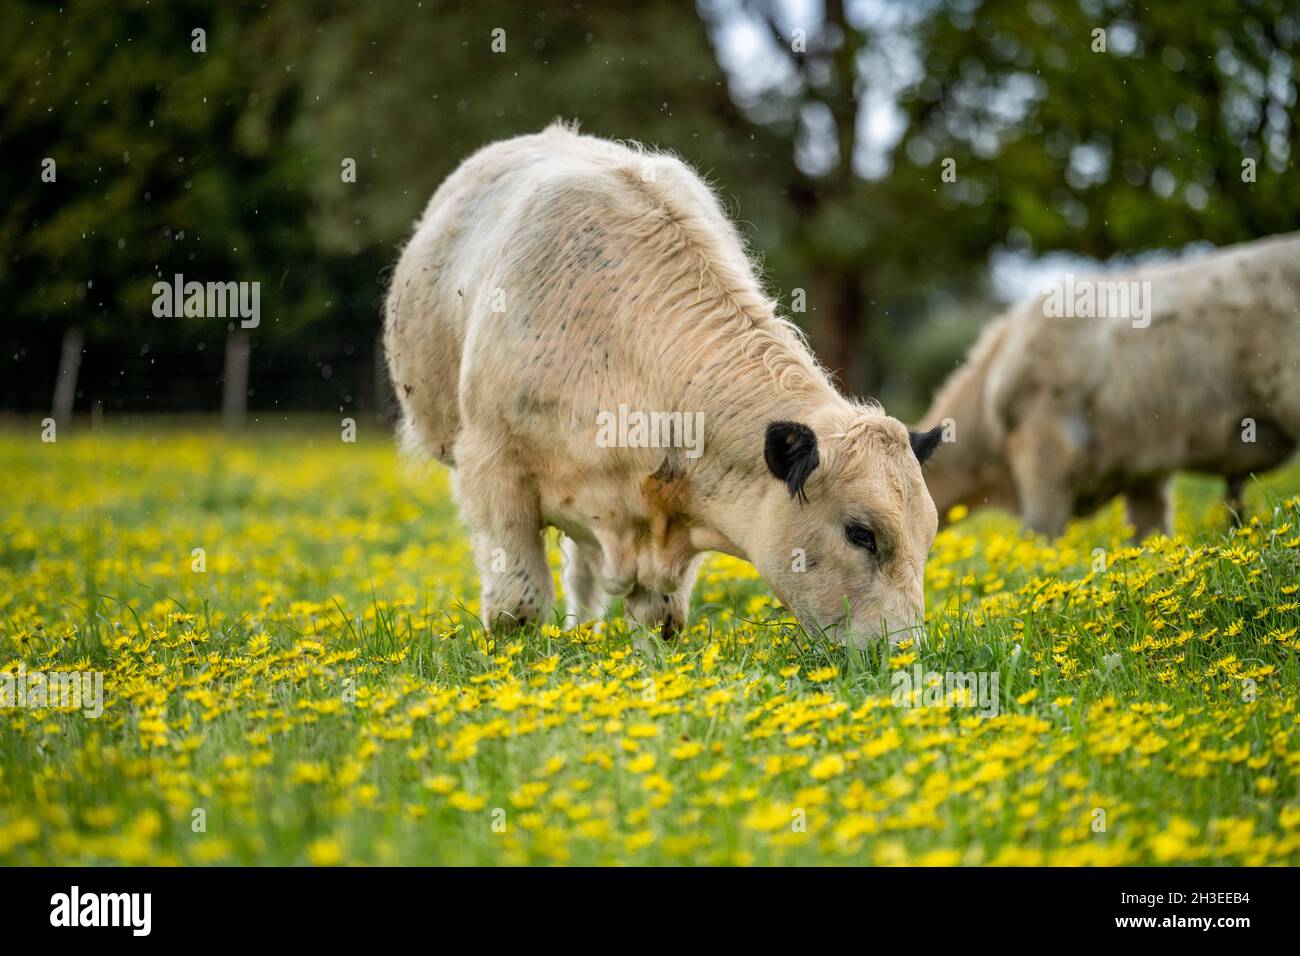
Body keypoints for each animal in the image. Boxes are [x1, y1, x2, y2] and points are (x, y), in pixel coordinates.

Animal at [384, 122, 943, 646]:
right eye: (861, 534)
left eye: (927, 536)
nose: (903, 650)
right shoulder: (491, 469)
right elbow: (516, 607)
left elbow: (659, 619)